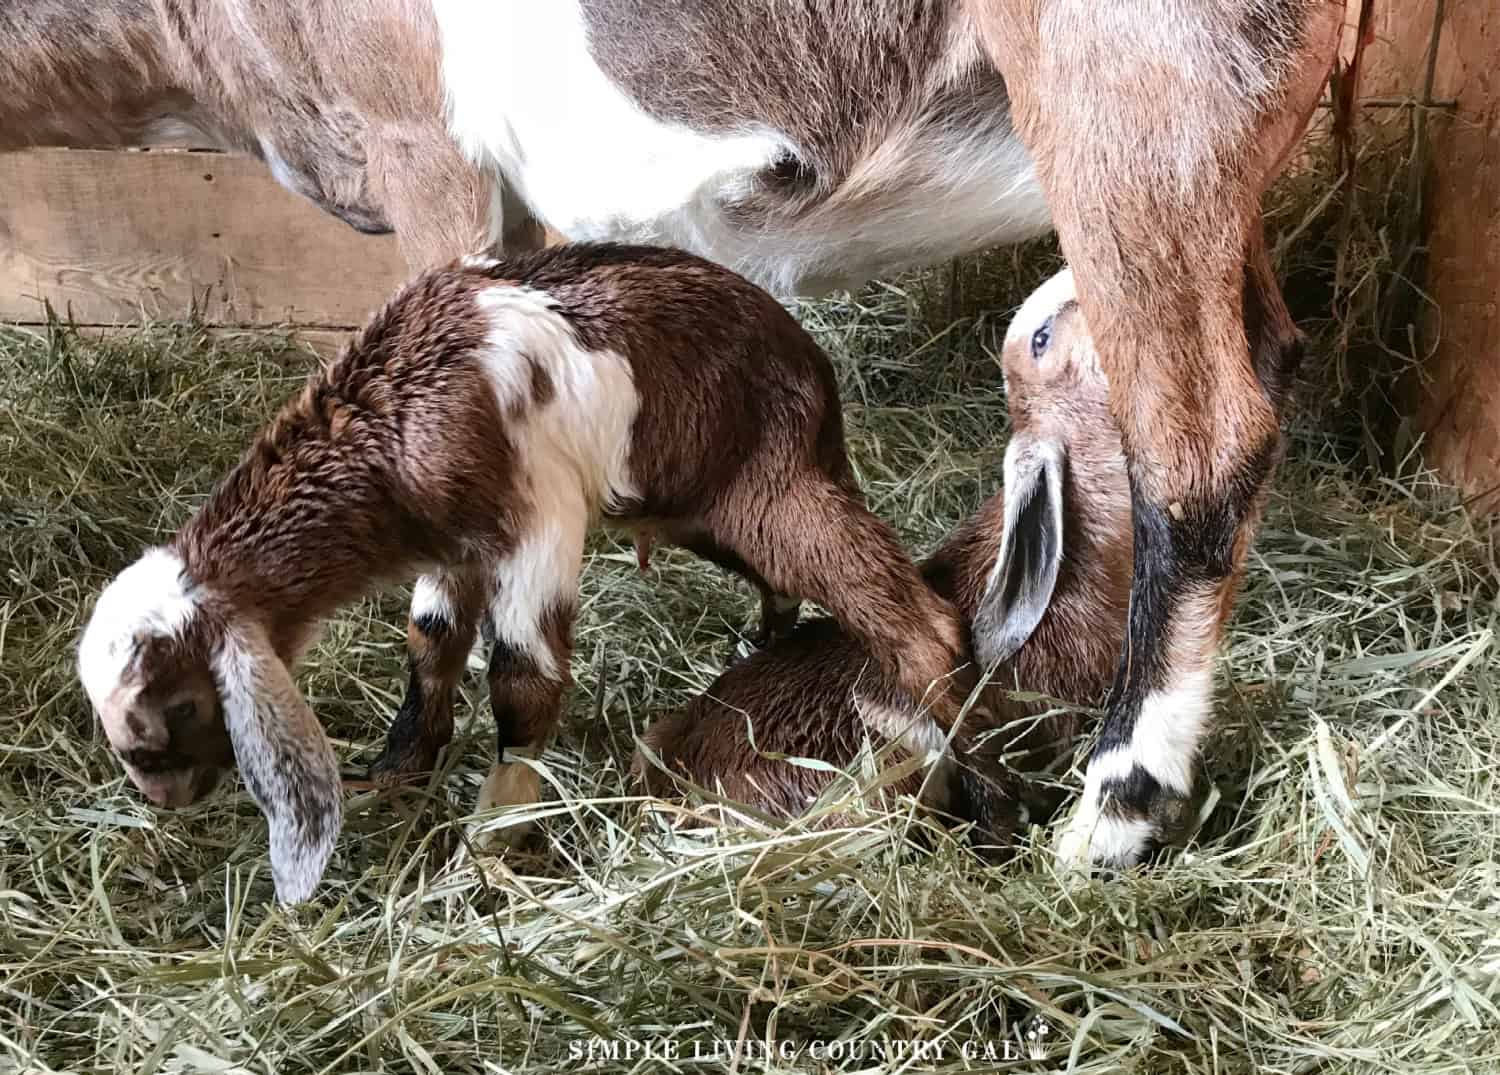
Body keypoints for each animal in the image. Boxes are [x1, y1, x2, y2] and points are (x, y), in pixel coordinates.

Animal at [76, 243, 964, 903]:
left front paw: (489, 848)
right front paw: (395, 773)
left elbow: (521, 681)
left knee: (907, 610)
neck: (395, 417)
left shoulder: (538, 521)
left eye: (182, 704)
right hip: (702, 508)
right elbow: (430, 642)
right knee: (784, 590)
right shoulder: (454, 548)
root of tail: (815, 365)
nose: (160, 794)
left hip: (774, 489)